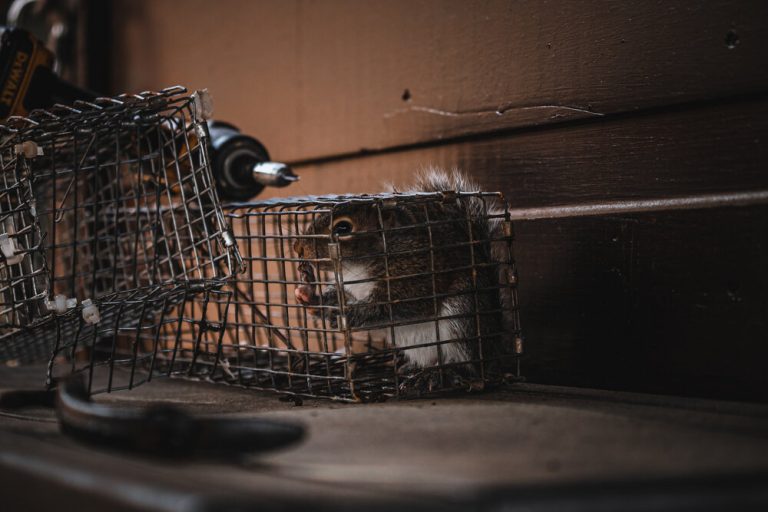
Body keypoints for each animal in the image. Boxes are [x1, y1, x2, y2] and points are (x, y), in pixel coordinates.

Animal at [292, 169, 515, 386]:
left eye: (343, 228)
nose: (298, 247)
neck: (356, 269)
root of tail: (495, 348)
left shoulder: (414, 274)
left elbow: (389, 308)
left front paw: (346, 314)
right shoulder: (349, 288)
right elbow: (341, 298)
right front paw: (310, 297)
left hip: (463, 315)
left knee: (471, 368)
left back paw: (442, 373)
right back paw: (415, 369)